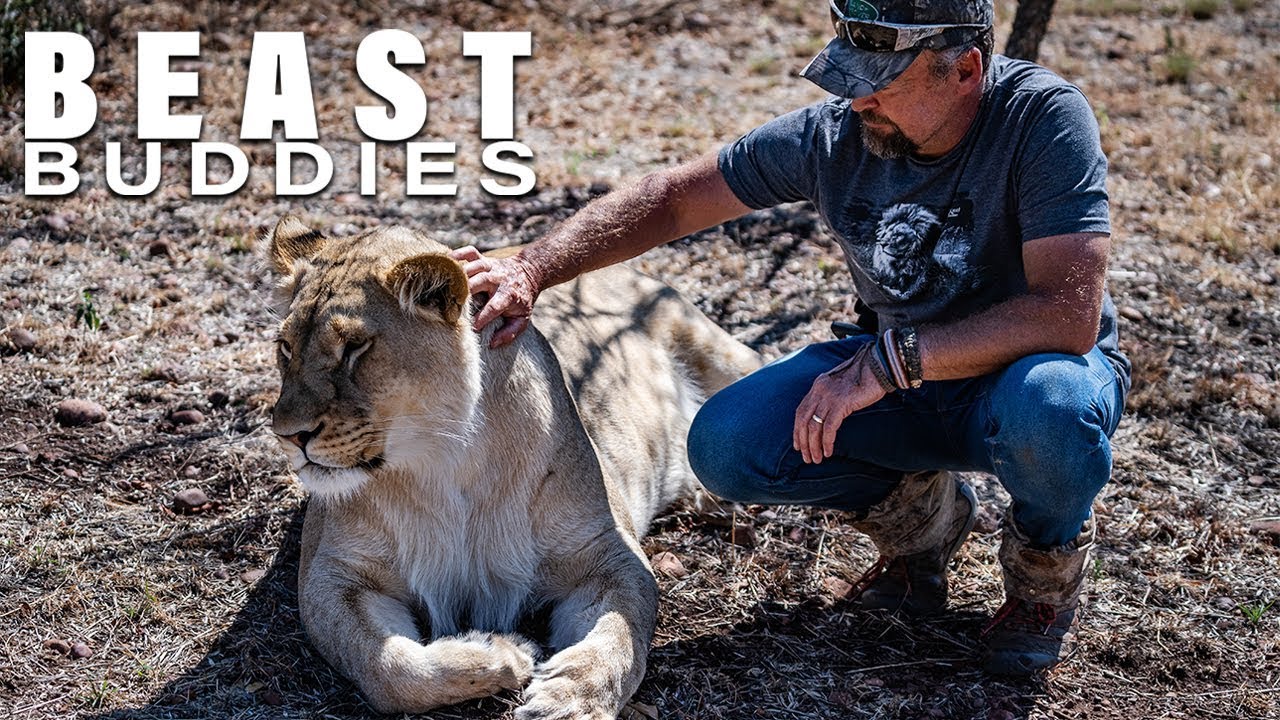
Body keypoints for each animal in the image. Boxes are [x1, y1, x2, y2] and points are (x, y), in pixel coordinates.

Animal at [266, 216, 761, 718]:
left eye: (354, 347)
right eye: (285, 347)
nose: (287, 434)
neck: (443, 462)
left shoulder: (605, 552)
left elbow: (619, 637)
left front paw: (570, 700)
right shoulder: (331, 574)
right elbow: (390, 669)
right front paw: (503, 652)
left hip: (723, 354)